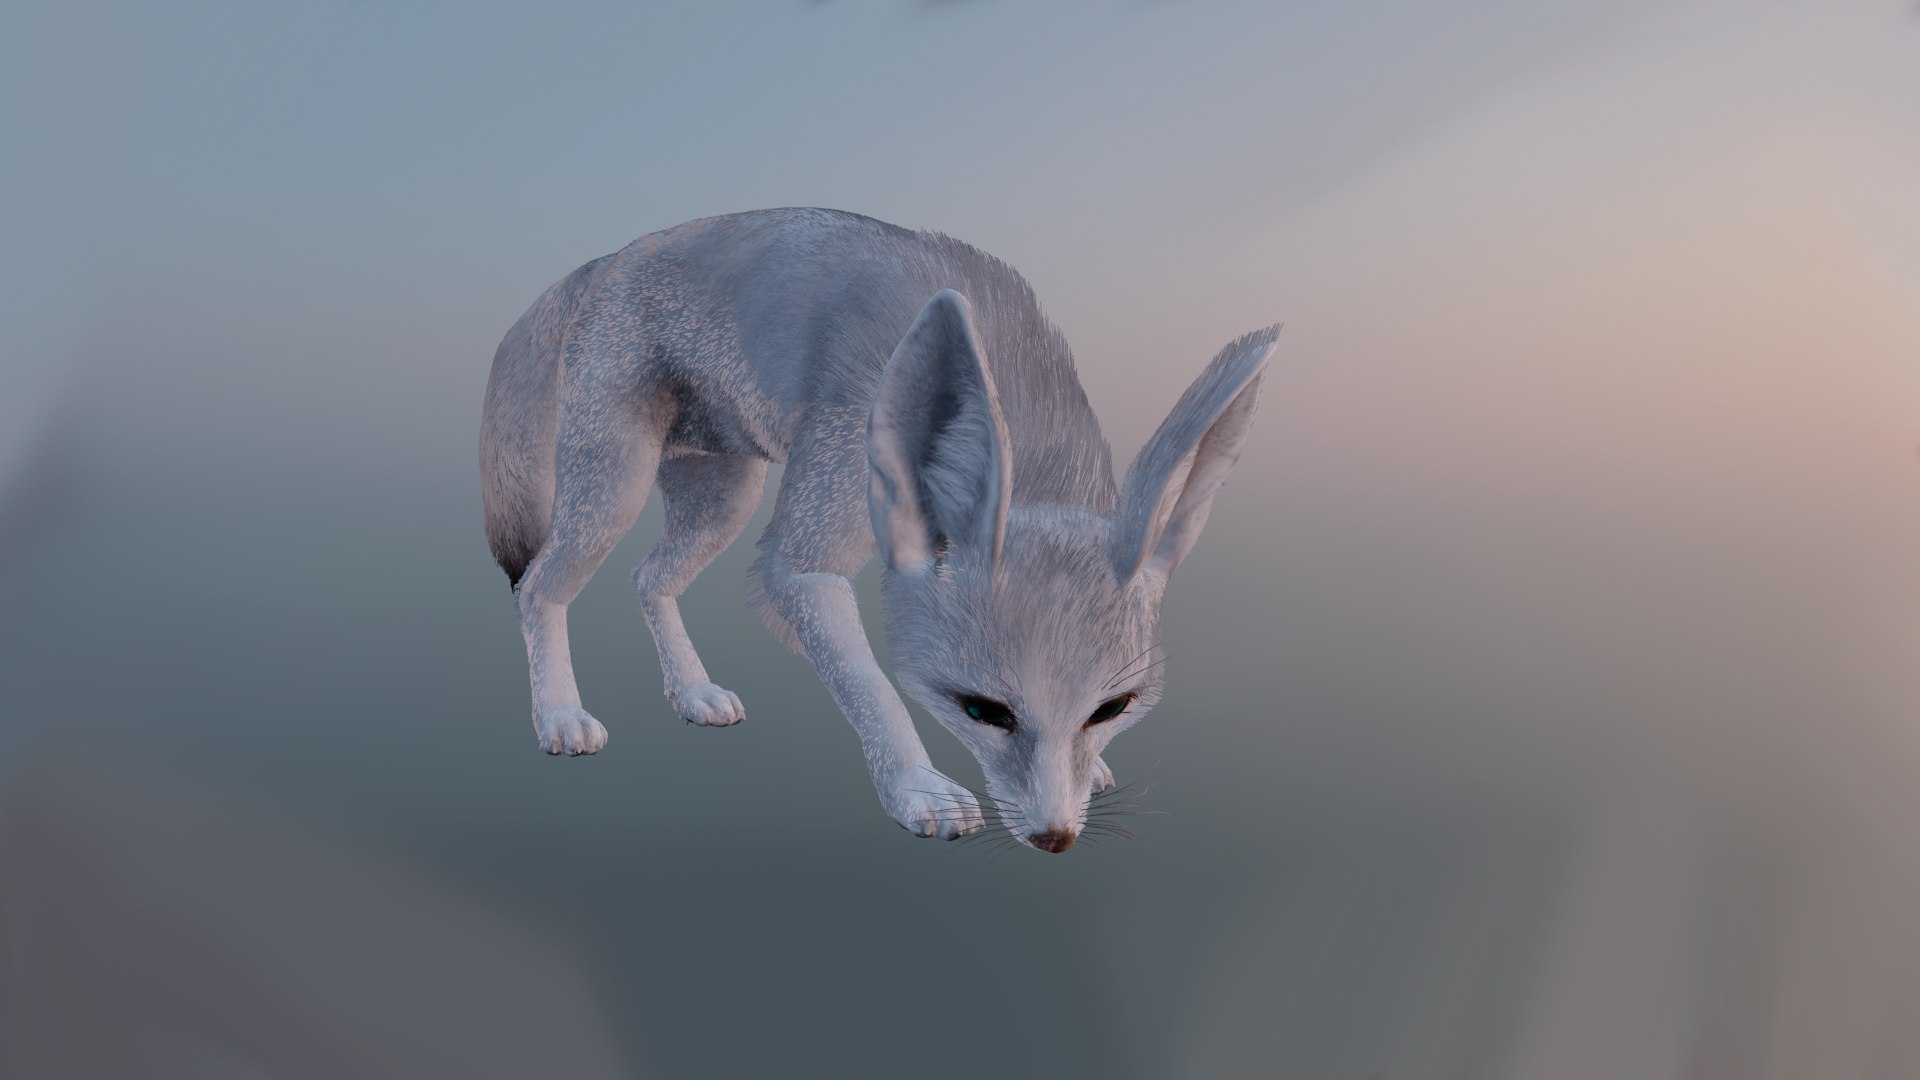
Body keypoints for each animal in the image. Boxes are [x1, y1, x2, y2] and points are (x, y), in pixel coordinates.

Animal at [480, 207, 1277, 853]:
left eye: (1111, 708)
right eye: (983, 711)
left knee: (646, 577)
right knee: (539, 586)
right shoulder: (803, 564)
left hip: (725, 498)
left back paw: (693, 693)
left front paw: (1096, 767)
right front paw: (919, 788)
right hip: (616, 488)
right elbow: (874, 689)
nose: (1056, 840)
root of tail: (607, 259)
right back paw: (560, 715)